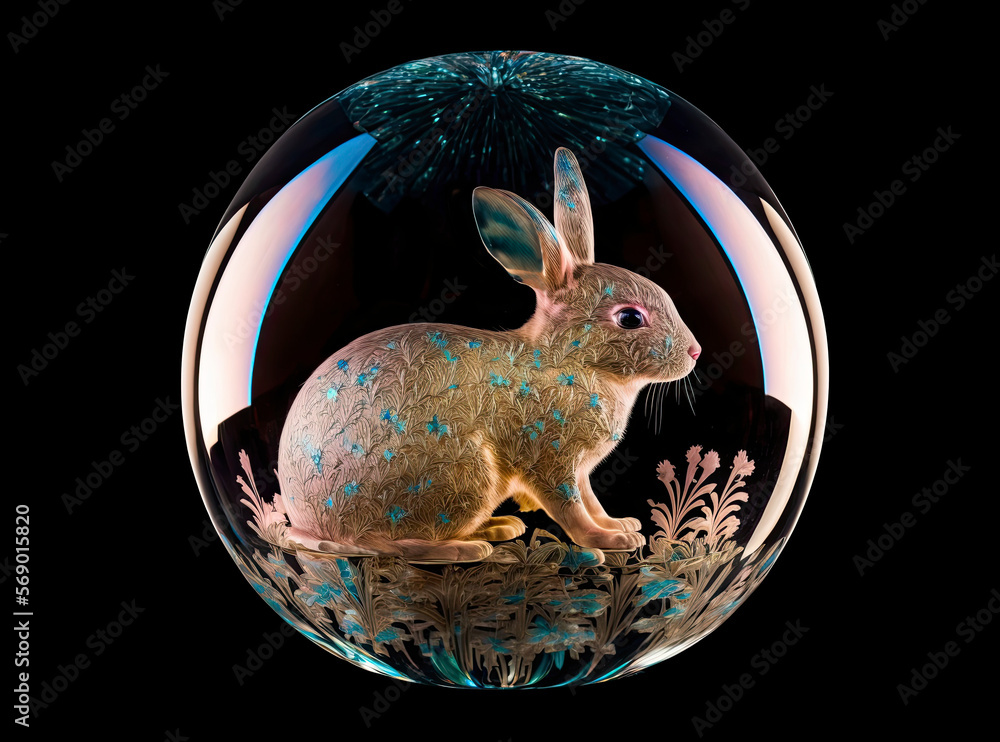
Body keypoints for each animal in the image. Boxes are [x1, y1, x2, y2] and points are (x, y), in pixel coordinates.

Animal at [276, 148, 700, 562]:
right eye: (630, 318)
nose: (695, 352)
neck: (566, 360)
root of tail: (310, 524)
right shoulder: (549, 456)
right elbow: (571, 508)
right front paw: (610, 539)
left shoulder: (579, 470)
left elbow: (591, 500)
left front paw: (620, 524)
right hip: (461, 474)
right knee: (396, 547)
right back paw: (468, 547)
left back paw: (500, 527)